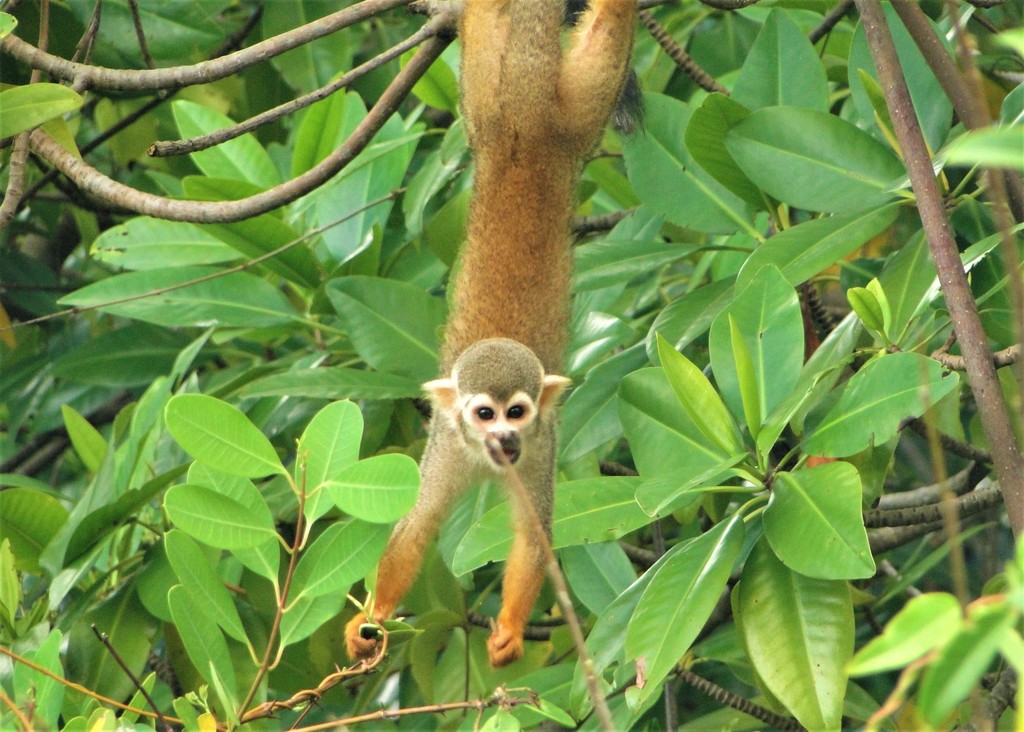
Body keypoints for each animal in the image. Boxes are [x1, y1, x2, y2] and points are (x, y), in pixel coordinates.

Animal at [345, 0, 636, 668]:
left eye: (517, 412)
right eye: (484, 414)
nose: (504, 437)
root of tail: (527, 120)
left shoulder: (543, 444)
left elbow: (536, 536)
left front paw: (508, 631)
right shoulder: (446, 444)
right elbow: (417, 524)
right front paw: (374, 615)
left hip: (571, 124)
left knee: (602, 53)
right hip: (485, 100)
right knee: (489, 45)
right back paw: (478, 12)